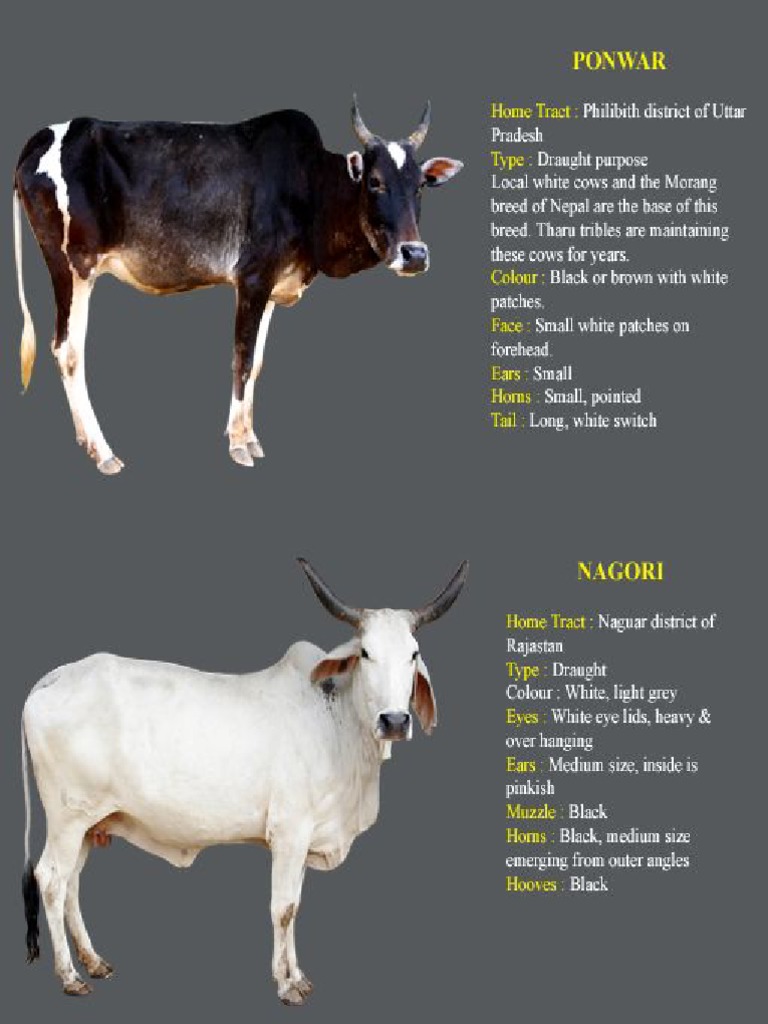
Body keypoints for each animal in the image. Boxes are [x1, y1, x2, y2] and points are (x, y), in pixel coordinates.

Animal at [13, 101, 463, 474]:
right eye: (374, 182)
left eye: (420, 185)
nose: (414, 254)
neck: (311, 184)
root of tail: (45, 135)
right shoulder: (252, 278)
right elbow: (242, 361)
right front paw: (238, 446)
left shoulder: (272, 288)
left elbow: (258, 363)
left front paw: (249, 436)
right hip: (72, 267)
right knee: (68, 349)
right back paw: (103, 451)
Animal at [21, 558, 468, 1004]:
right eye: (365, 652)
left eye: (413, 653)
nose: (394, 721)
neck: (338, 721)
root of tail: (55, 678)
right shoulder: (289, 831)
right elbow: (283, 908)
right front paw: (287, 985)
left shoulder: (305, 839)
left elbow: (296, 905)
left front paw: (296, 974)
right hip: (67, 818)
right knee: (52, 881)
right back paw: (70, 976)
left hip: (88, 824)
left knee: (72, 884)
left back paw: (94, 962)